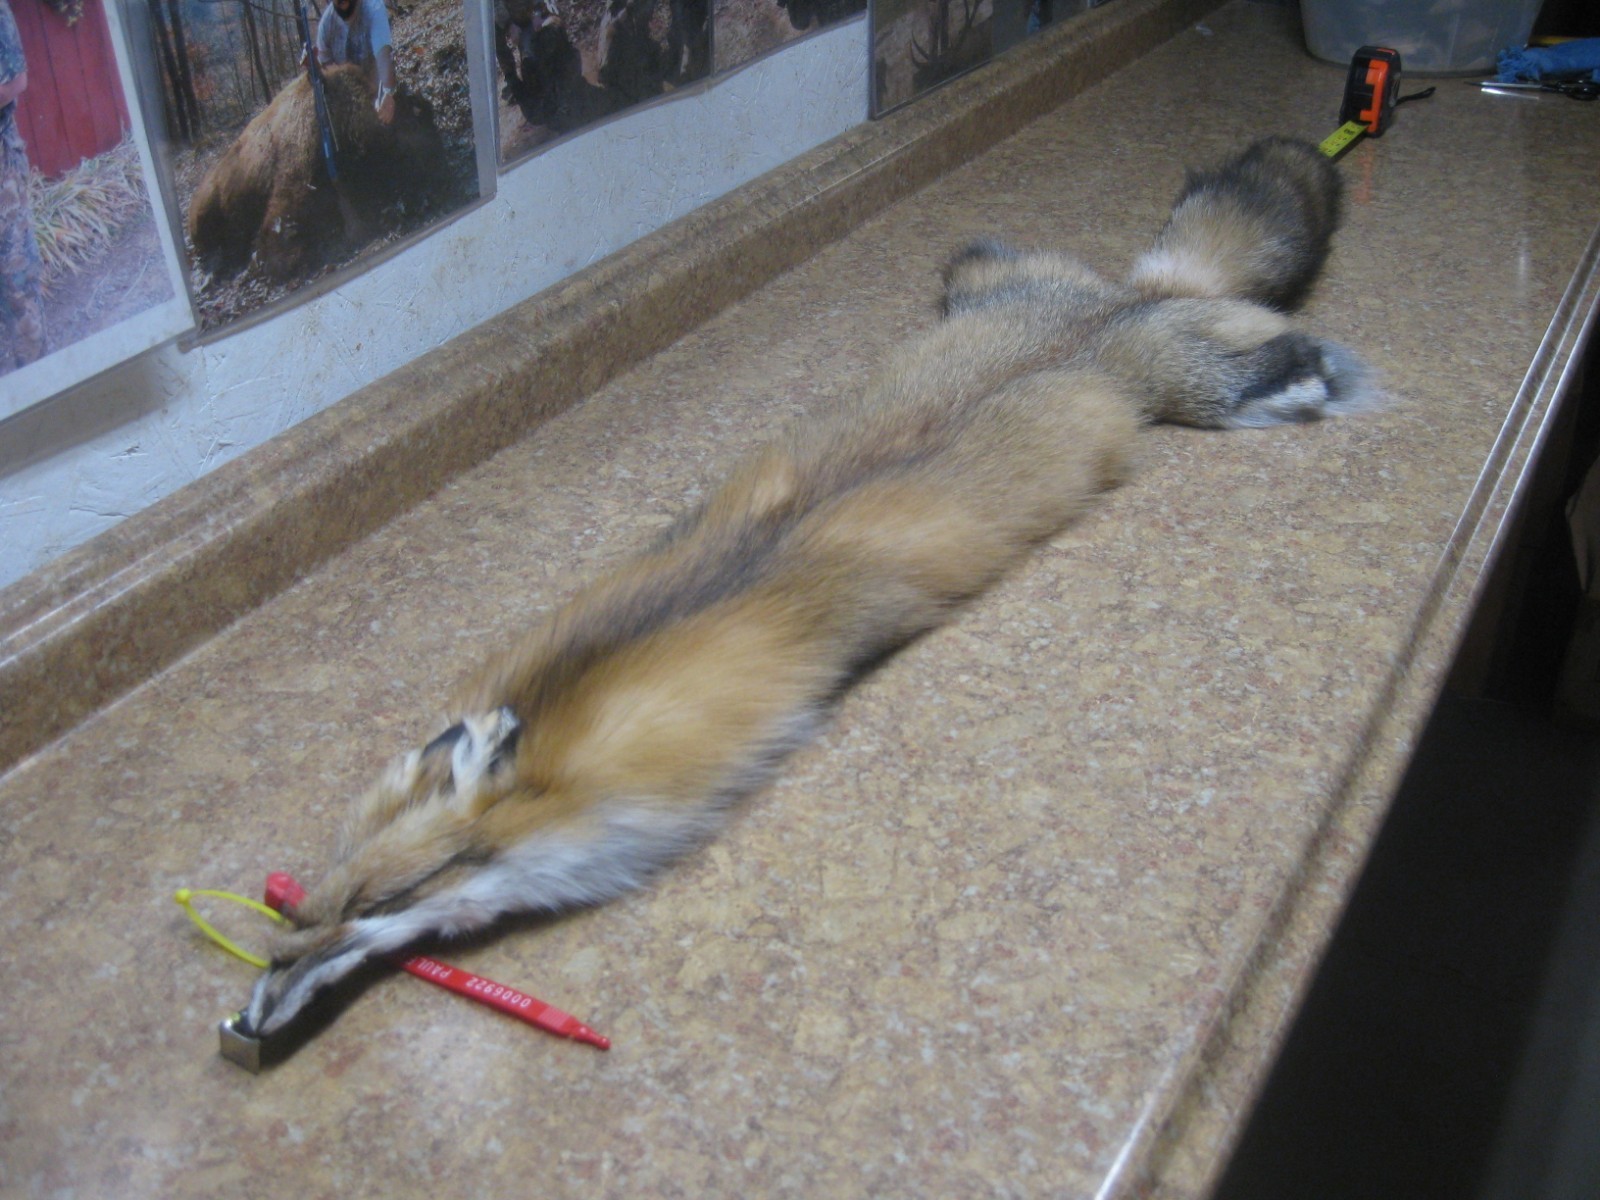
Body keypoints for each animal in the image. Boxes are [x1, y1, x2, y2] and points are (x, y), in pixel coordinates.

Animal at [240, 137, 1373, 1039]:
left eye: (389, 896)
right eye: (300, 909)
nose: (248, 1012)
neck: (559, 729)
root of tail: (1120, 305)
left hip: (1174, 383)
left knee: (1248, 362)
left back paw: (1302, 377)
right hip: (984, 274)